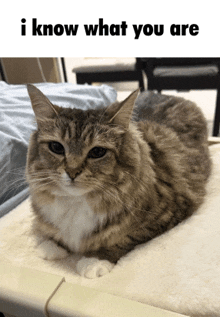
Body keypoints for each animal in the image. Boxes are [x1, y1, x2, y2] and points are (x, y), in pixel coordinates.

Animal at [25, 84, 211, 276]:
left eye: (97, 152)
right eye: (56, 147)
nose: (72, 172)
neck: (76, 201)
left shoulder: (169, 211)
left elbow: (124, 238)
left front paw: (95, 260)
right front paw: (50, 244)